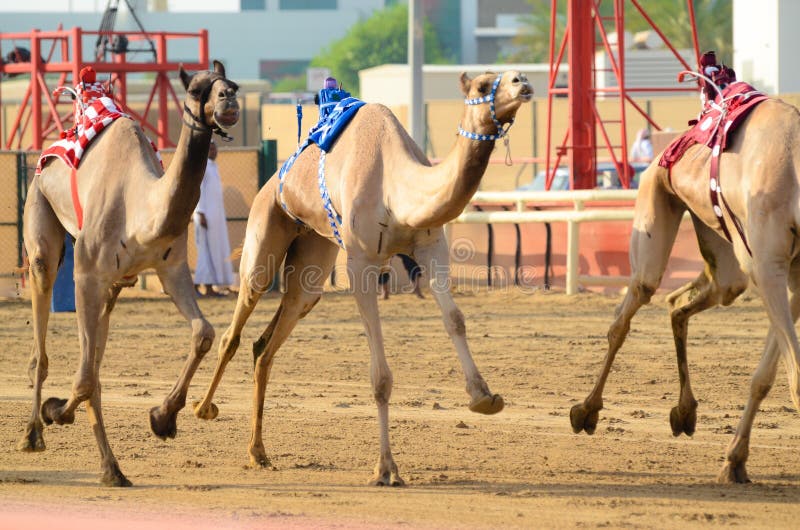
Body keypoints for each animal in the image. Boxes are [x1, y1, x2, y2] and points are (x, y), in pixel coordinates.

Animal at [18, 61, 240, 486]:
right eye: (196, 89)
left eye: (231, 84)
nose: (229, 102)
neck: (141, 210)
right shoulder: (86, 274)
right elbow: (85, 377)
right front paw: (55, 411)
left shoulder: (170, 268)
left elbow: (202, 333)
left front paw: (163, 418)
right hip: (40, 214)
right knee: (44, 339)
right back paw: (33, 433)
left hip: (113, 286)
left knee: (94, 362)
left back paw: (112, 468)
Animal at [192, 71, 533, 485]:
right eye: (483, 86)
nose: (522, 82)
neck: (395, 185)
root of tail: (273, 179)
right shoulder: (360, 263)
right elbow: (380, 375)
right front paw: (386, 468)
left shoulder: (430, 246)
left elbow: (455, 319)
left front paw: (483, 397)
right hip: (265, 230)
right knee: (237, 324)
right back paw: (196, 410)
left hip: (313, 257)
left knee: (269, 339)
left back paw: (258, 452)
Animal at [569, 95, 800, 483]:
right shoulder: (770, 264)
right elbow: (794, 375)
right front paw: (734, 461)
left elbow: (766, 376)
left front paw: (734, 460)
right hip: (656, 198)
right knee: (630, 308)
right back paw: (586, 411)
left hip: (718, 245)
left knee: (683, 302)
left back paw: (684, 411)